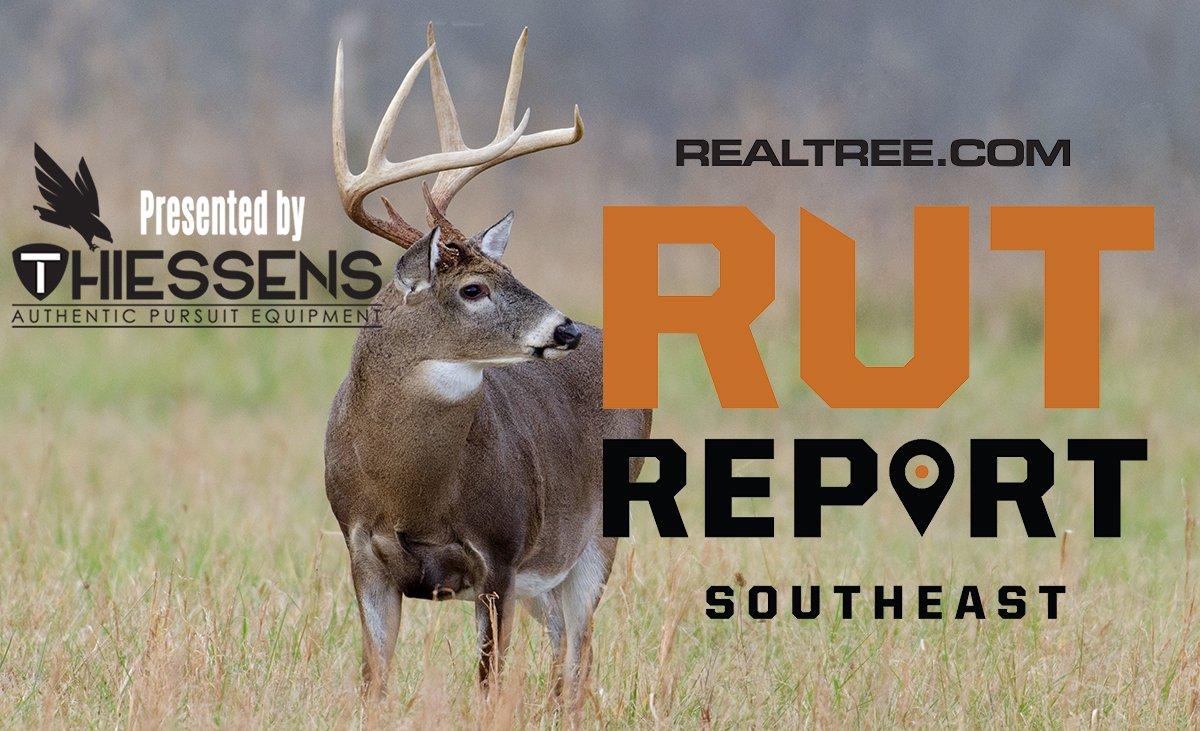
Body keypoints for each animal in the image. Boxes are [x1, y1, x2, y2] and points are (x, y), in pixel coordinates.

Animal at [324, 24, 652, 706]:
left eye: (510, 270)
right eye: (474, 288)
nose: (565, 328)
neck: (410, 492)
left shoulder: (500, 554)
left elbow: (487, 684)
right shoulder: (362, 552)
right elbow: (374, 680)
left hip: (595, 539)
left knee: (580, 655)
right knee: (562, 647)